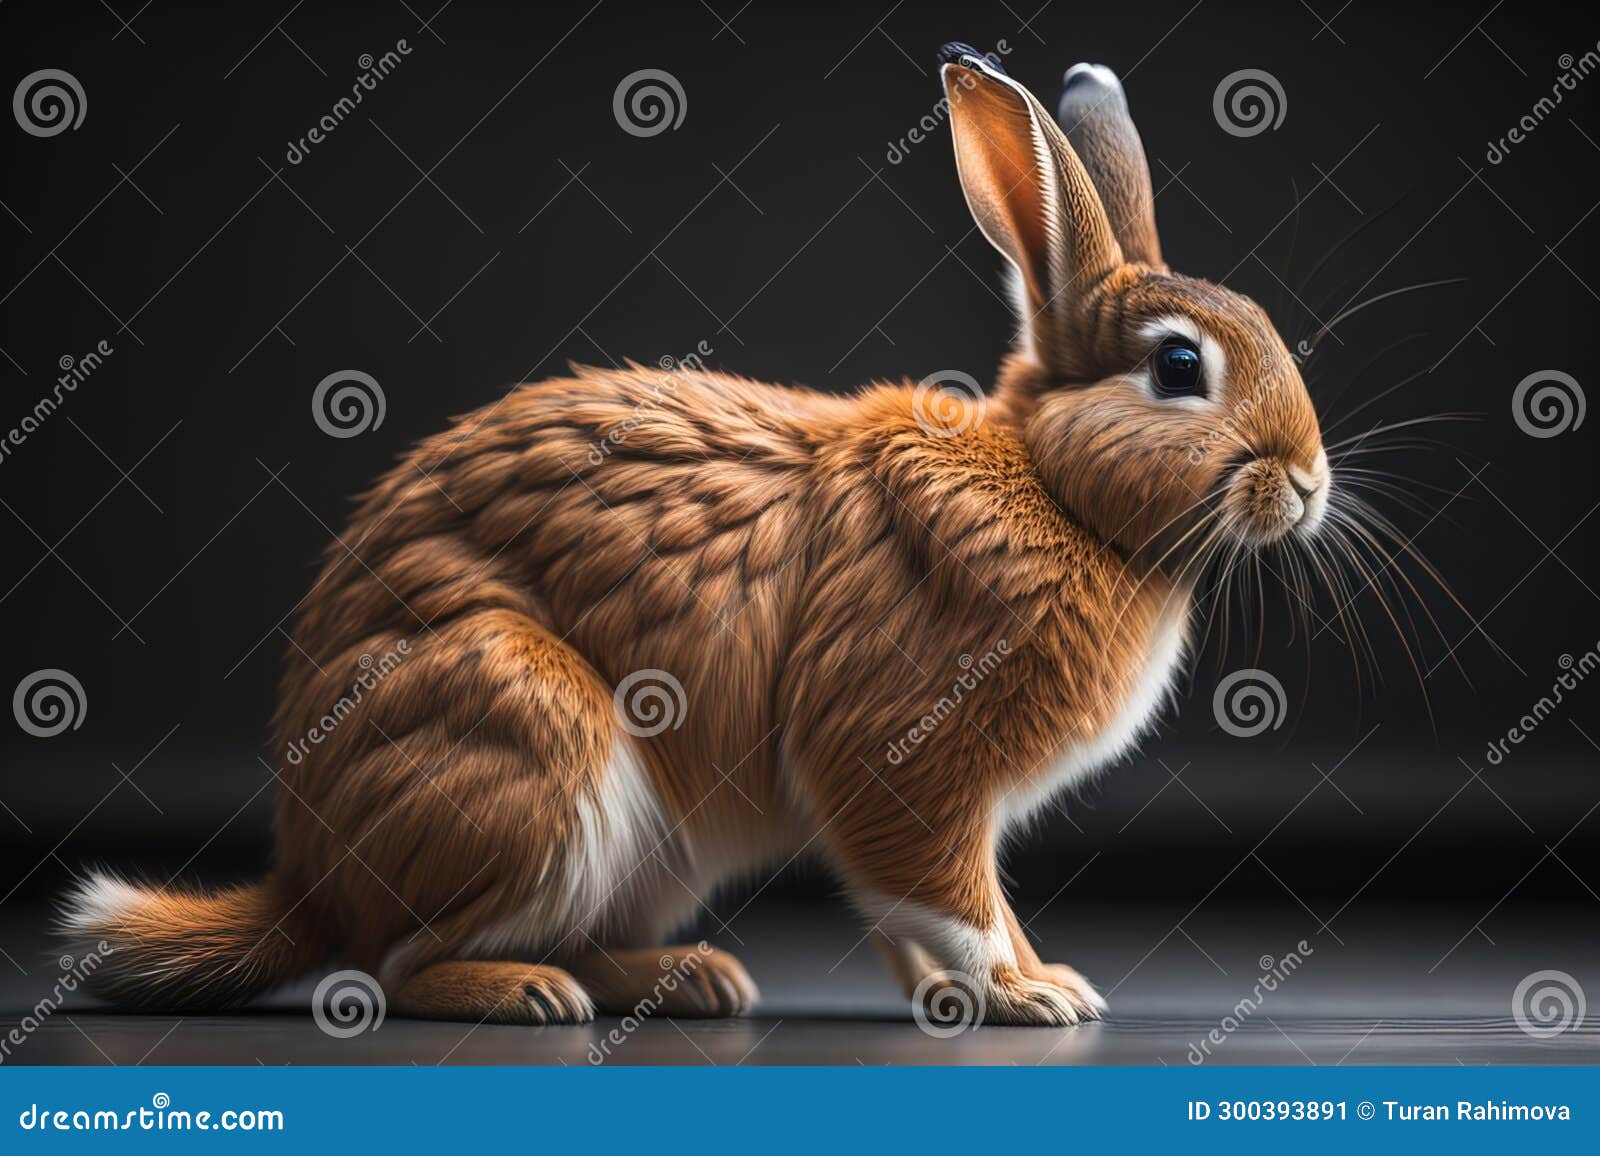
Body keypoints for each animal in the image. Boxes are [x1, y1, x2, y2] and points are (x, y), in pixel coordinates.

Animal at [60, 44, 1331, 1028]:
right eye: (1179, 366)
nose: (1311, 483)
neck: (1054, 487)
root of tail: (308, 874)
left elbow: (925, 914)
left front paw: (1018, 984)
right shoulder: (899, 760)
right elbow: (947, 900)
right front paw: (1032, 997)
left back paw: (690, 978)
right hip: (531, 743)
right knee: (394, 960)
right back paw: (529, 996)